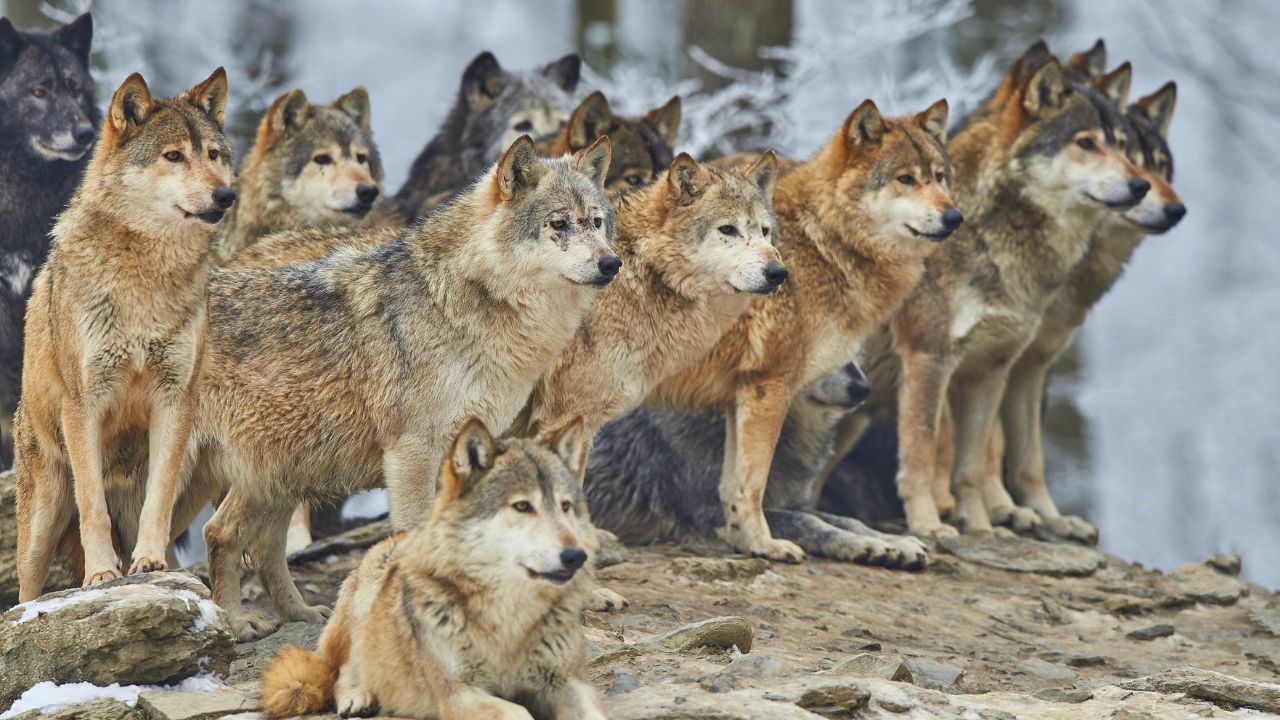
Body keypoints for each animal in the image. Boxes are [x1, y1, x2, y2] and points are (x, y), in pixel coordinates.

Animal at [14, 69, 234, 600]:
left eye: (214, 155)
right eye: (173, 156)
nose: (225, 196)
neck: (145, 280)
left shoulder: (176, 398)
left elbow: (159, 496)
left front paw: (150, 562)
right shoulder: (84, 404)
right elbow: (91, 505)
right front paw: (100, 574)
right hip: (40, 523)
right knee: (26, 591)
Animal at [190, 136, 617, 640]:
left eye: (596, 222)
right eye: (558, 224)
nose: (611, 262)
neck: (462, 302)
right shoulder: (412, 452)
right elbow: (415, 535)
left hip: (282, 469)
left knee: (245, 539)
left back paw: (299, 615)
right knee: (218, 534)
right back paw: (236, 623)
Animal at [259, 418, 605, 720]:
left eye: (565, 506)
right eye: (522, 506)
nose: (575, 556)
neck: (509, 619)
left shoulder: (568, 682)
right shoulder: (458, 694)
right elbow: (517, 712)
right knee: (340, 672)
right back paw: (358, 697)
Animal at [588, 362, 928, 568]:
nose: (862, 388)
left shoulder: (791, 502)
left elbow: (846, 520)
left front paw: (892, 543)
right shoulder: (711, 516)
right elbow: (810, 523)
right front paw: (864, 544)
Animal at [641, 99, 961, 562]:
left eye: (938, 176)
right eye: (906, 179)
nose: (955, 216)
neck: (825, 244)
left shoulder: (742, 393)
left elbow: (737, 488)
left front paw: (745, 542)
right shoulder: (770, 385)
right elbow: (754, 484)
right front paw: (765, 544)